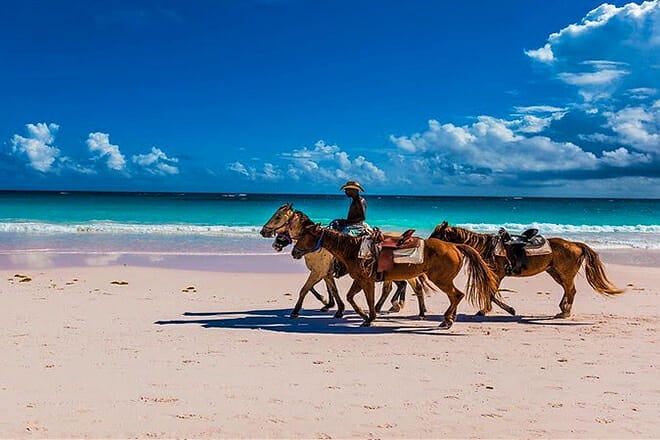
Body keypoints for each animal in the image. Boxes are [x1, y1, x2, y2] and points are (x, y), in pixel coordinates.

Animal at [260, 203, 420, 320]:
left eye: (278, 217)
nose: (263, 232)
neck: (318, 245)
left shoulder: (319, 272)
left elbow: (305, 289)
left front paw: (296, 311)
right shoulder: (325, 273)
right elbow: (332, 290)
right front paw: (335, 307)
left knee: (403, 286)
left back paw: (396, 306)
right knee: (398, 286)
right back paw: (389, 306)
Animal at [292, 211, 498, 328]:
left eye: (304, 236)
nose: (294, 252)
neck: (353, 249)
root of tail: (455, 246)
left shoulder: (366, 280)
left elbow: (367, 299)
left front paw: (369, 318)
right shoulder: (360, 279)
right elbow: (351, 297)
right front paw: (366, 315)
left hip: (440, 279)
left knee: (456, 295)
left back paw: (446, 320)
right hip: (443, 280)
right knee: (454, 296)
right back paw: (447, 318)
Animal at [428, 222, 624, 318]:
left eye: (437, 234)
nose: (429, 243)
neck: (488, 248)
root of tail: (576, 244)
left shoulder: (497, 275)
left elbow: (491, 292)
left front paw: (496, 310)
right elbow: (491, 293)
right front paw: (491, 309)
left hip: (565, 274)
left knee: (571, 291)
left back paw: (565, 312)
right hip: (556, 273)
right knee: (568, 291)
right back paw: (562, 309)